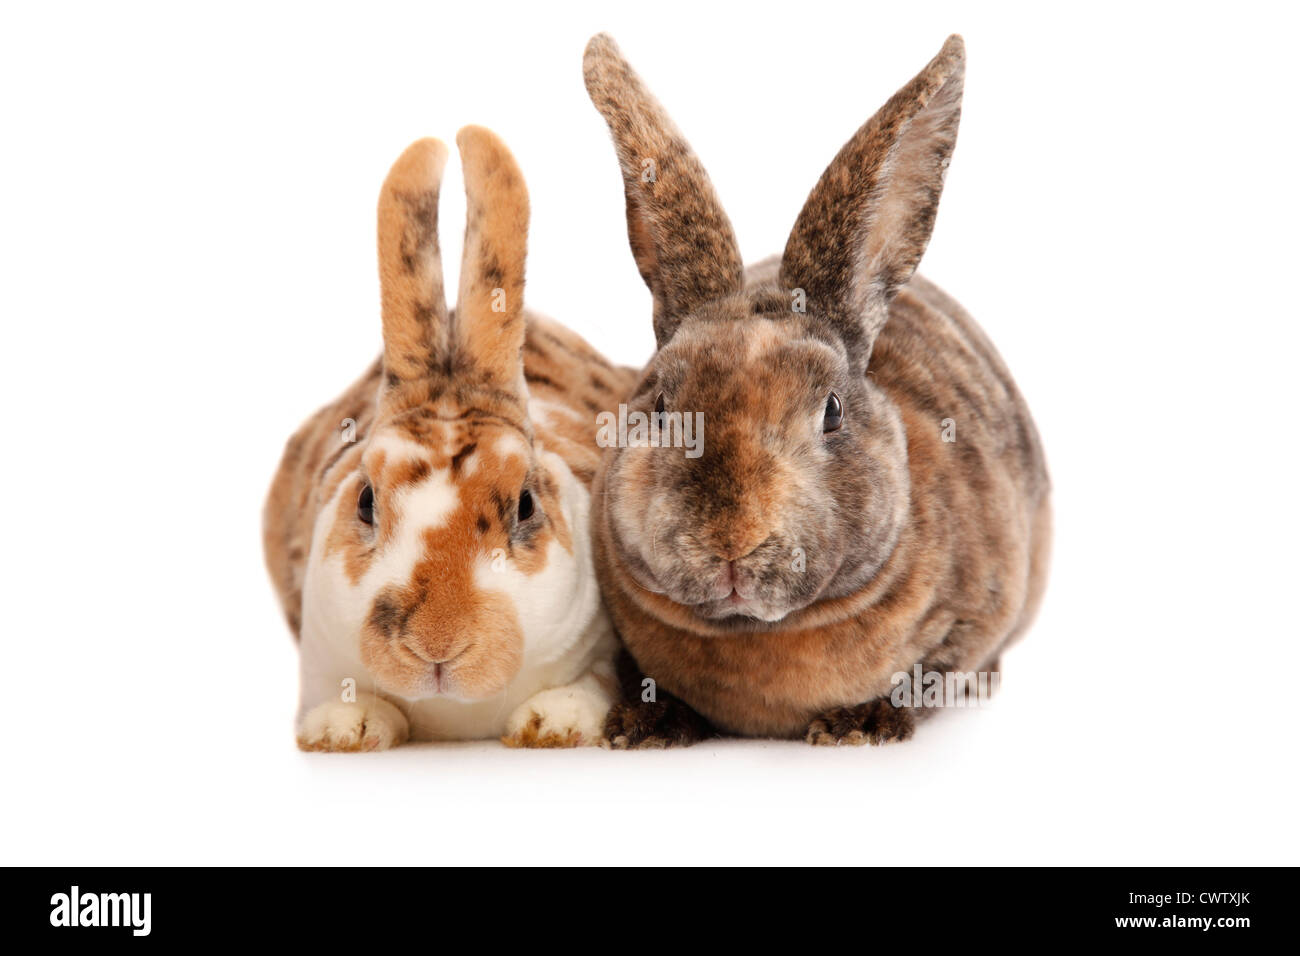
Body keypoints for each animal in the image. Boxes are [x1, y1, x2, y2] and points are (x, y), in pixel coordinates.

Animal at [262, 126, 636, 750]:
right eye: (365, 502)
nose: (437, 644)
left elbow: (594, 685)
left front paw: (552, 723)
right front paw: (344, 729)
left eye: (525, 505)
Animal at [581, 34, 1052, 746]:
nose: (732, 542)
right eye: (660, 407)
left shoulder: (975, 618)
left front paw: (860, 726)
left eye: (831, 412)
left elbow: (933, 674)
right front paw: (642, 728)